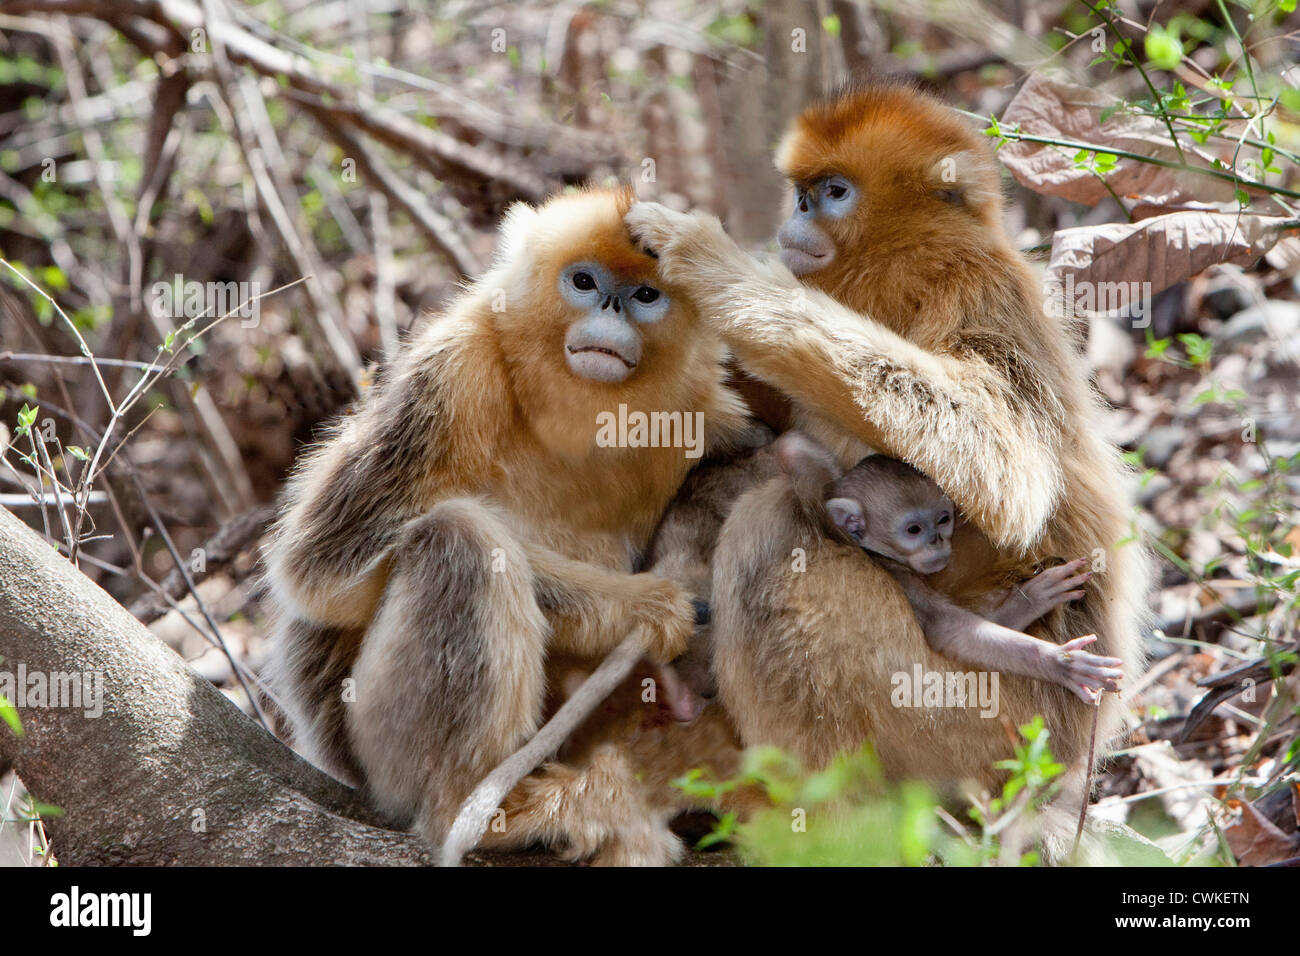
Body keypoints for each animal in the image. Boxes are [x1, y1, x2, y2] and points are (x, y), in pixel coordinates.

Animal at [265, 185, 756, 865]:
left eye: (645, 295)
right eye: (584, 281)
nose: (612, 308)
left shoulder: (700, 402)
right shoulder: (454, 369)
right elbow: (320, 572)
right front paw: (649, 606)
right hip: (377, 745)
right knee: (461, 540)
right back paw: (483, 812)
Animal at [624, 83, 1148, 853]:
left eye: (833, 193)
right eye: (801, 194)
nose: (794, 219)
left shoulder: (981, 290)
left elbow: (1006, 472)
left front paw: (711, 264)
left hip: (992, 731)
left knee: (771, 529)